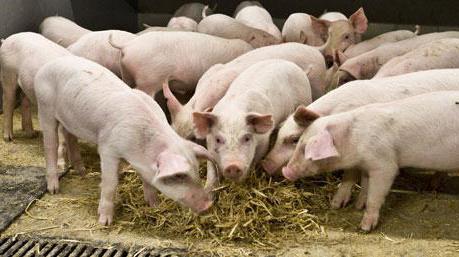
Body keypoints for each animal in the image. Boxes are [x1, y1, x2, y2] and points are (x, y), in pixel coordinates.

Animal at [35, 55, 217, 224]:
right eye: (179, 176)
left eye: (196, 170)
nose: (208, 205)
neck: (138, 148)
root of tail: (47, 66)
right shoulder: (108, 148)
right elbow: (111, 183)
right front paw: (105, 222)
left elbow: (148, 182)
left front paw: (154, 206)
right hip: (45, 107)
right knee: (50, 145)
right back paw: (54, 189)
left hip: (69, 120)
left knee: (69, 137)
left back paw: (82, 172)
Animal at [282, 90, 459, 230]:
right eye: (299, 142)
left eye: (305, 149)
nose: (285, 171)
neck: (354, 140)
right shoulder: (367, 166)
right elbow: (365, 187)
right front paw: (358, 205)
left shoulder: (384, 164)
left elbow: (375, 195)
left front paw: (365, 227)